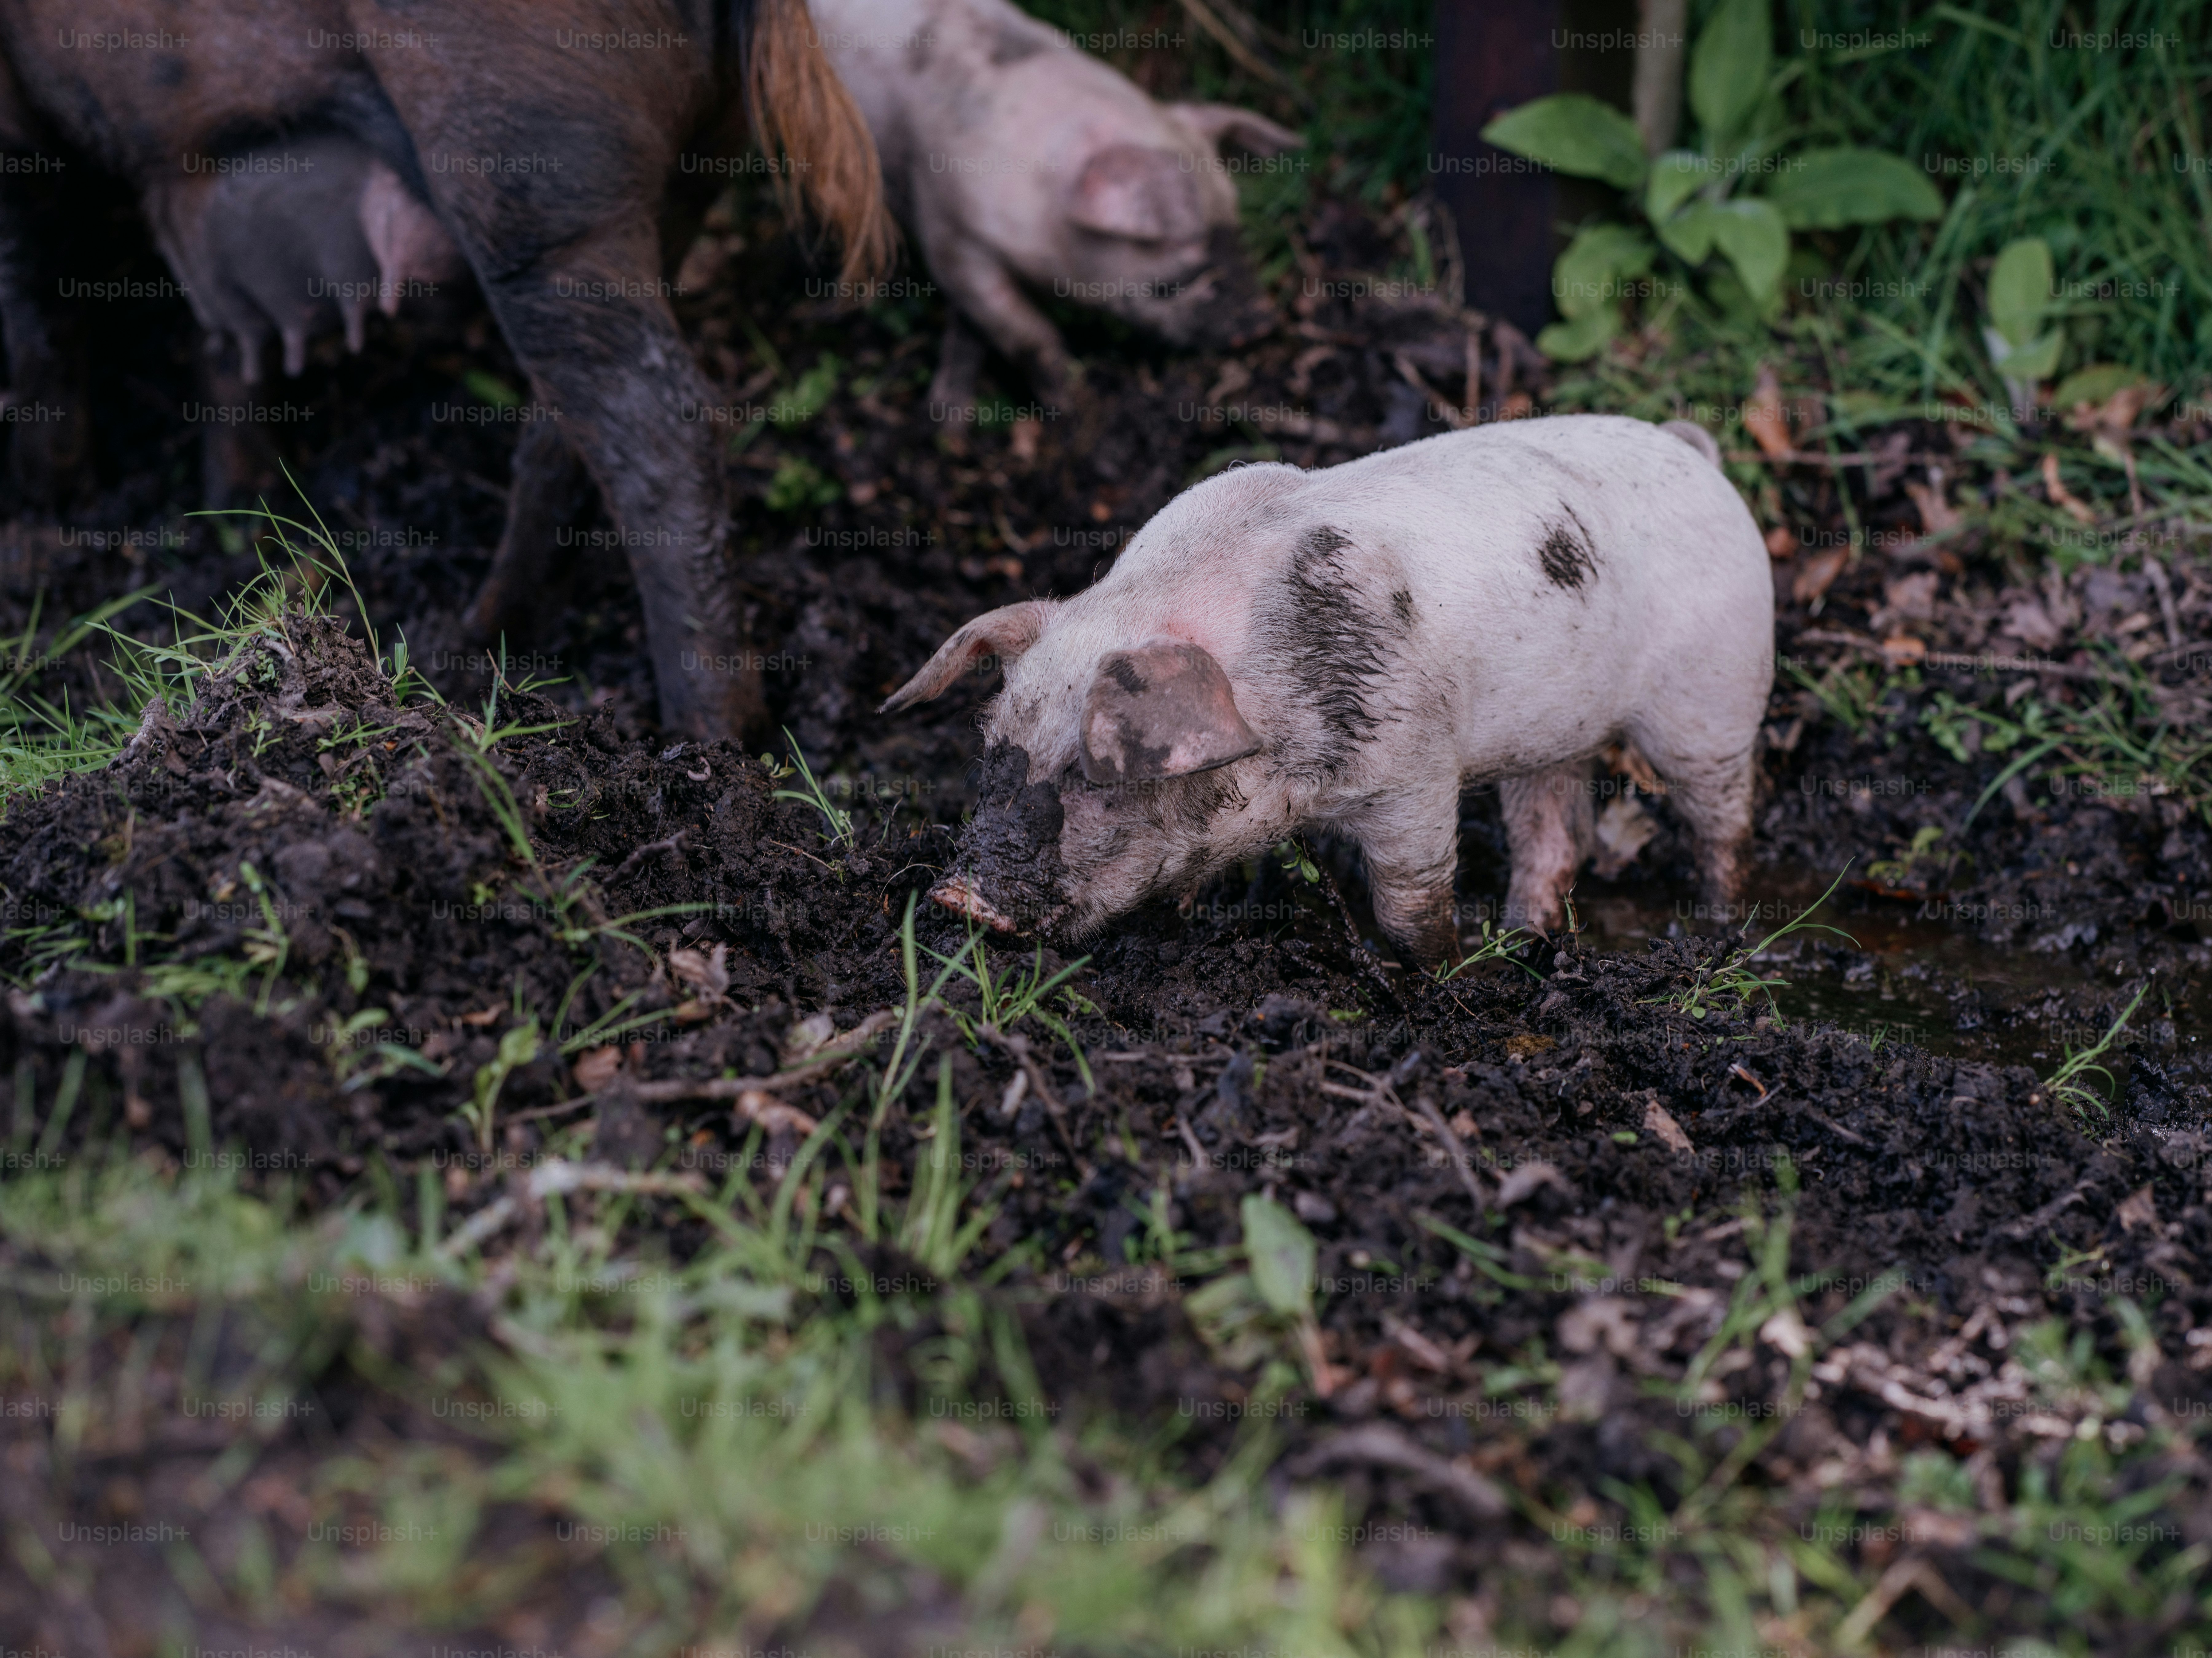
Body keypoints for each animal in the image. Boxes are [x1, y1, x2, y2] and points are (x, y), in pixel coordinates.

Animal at [0, 0, 889, 740]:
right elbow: (217, 339)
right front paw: (234, 513)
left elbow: (38, 299)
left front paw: (50, 508)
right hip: (682, 172)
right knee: (571, 425)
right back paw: (470, 646)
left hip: (530, 170)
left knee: (659, 422)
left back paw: (707, 742)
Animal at [810, 0, 1300, 409]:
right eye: (1185, 249)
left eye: (1235, 225)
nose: (1264, 322)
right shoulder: (951, 233)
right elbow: (1018, 327)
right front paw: (1070, 401)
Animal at [881, 415, 1773, 966]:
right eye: (997, 752)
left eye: (1093, 776)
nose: (959, 898)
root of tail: (1696, 455)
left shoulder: (1415, 767)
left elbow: (1413, 898)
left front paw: (1441, 972)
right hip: (1552, 735)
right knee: (1554, 836)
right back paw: (1525, 941)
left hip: (1713, 697)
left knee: (1722, 819)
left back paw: (1714, 929)